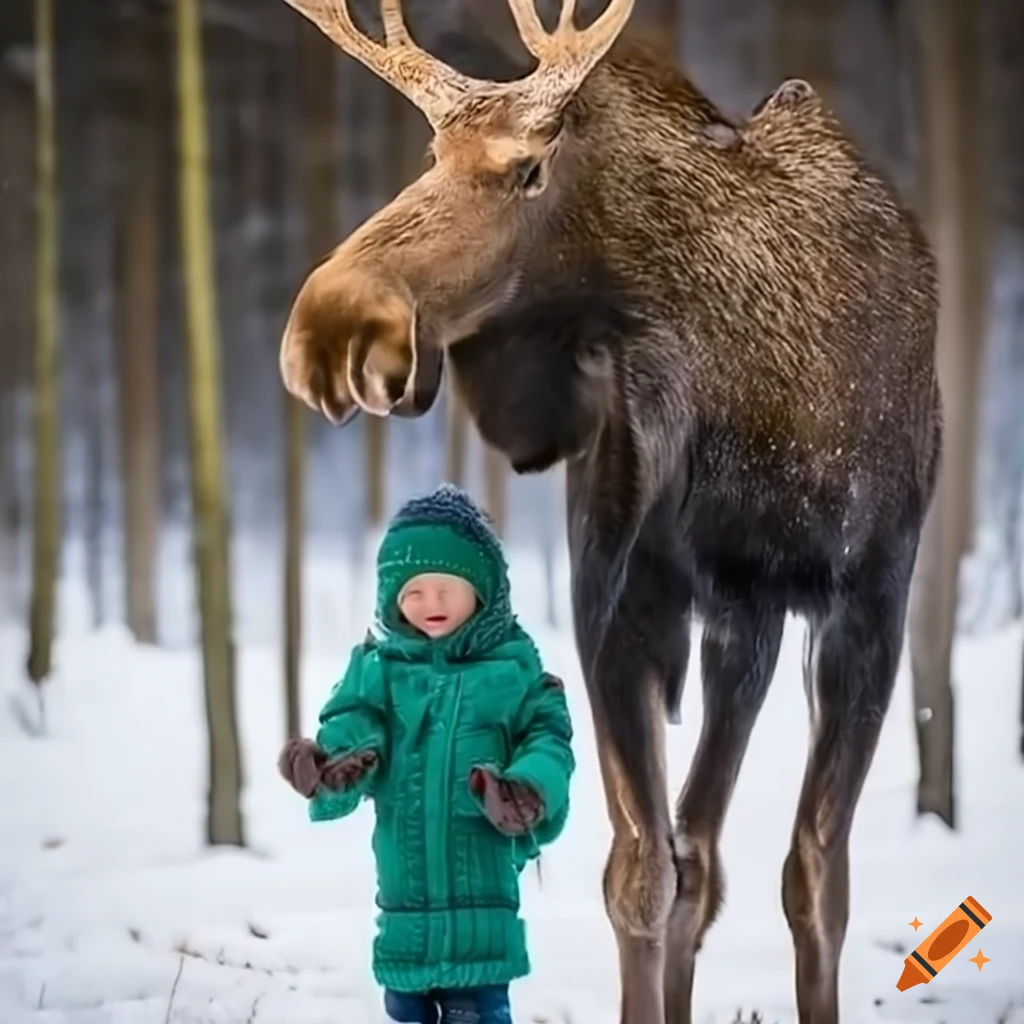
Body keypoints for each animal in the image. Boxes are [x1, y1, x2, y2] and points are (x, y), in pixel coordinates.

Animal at [273, 1, 941, 1022]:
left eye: (529, 168)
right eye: (432, 151)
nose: (331, 326)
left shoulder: (872, 597)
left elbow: (816, 874)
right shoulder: (626, 597)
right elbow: (642, 872)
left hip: (762, 622)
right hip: (739, 627)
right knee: (695, 851)